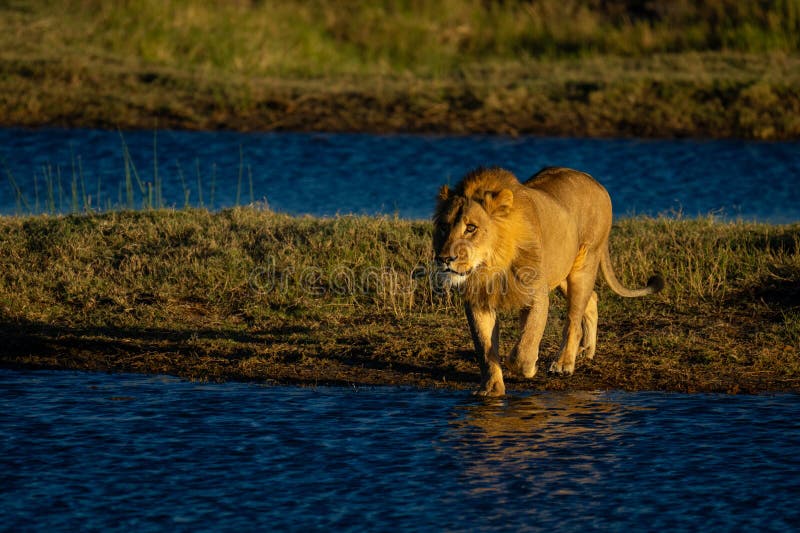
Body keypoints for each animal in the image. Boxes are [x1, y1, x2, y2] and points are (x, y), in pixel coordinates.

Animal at [433, 166, 664, 396]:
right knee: (593, 299)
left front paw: (530, 367)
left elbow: (524, 347)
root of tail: (595, 182)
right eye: (443, 227)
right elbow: (484, 348)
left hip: (584, 265)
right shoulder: (478, 302)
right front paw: (491, 389)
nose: (444, 259)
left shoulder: (537, 296)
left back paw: (563, 364)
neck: (492, 265)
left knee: (573, 321)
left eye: (471, 228)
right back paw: (587, 350)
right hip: (561, 272)